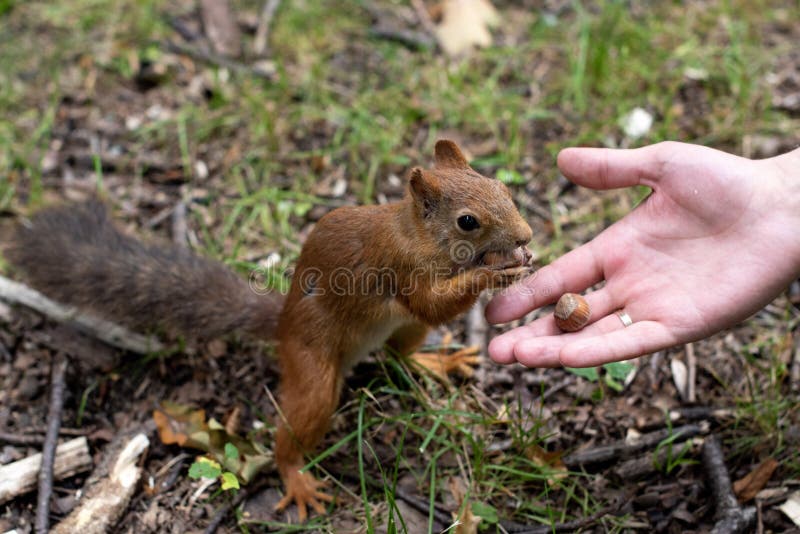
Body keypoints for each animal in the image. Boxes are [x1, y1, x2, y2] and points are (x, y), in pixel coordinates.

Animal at [7, 140, 533, 521]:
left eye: (503, 188)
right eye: (468, 221)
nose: (526, 237)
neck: (419, 236)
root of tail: (281, 326)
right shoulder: (400, 268)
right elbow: (429, 303)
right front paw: (495, 271)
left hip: (402, 331)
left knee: (401, 354)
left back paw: (435, 361)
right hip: (314, 369)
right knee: (300, 423)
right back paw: (297, 479)